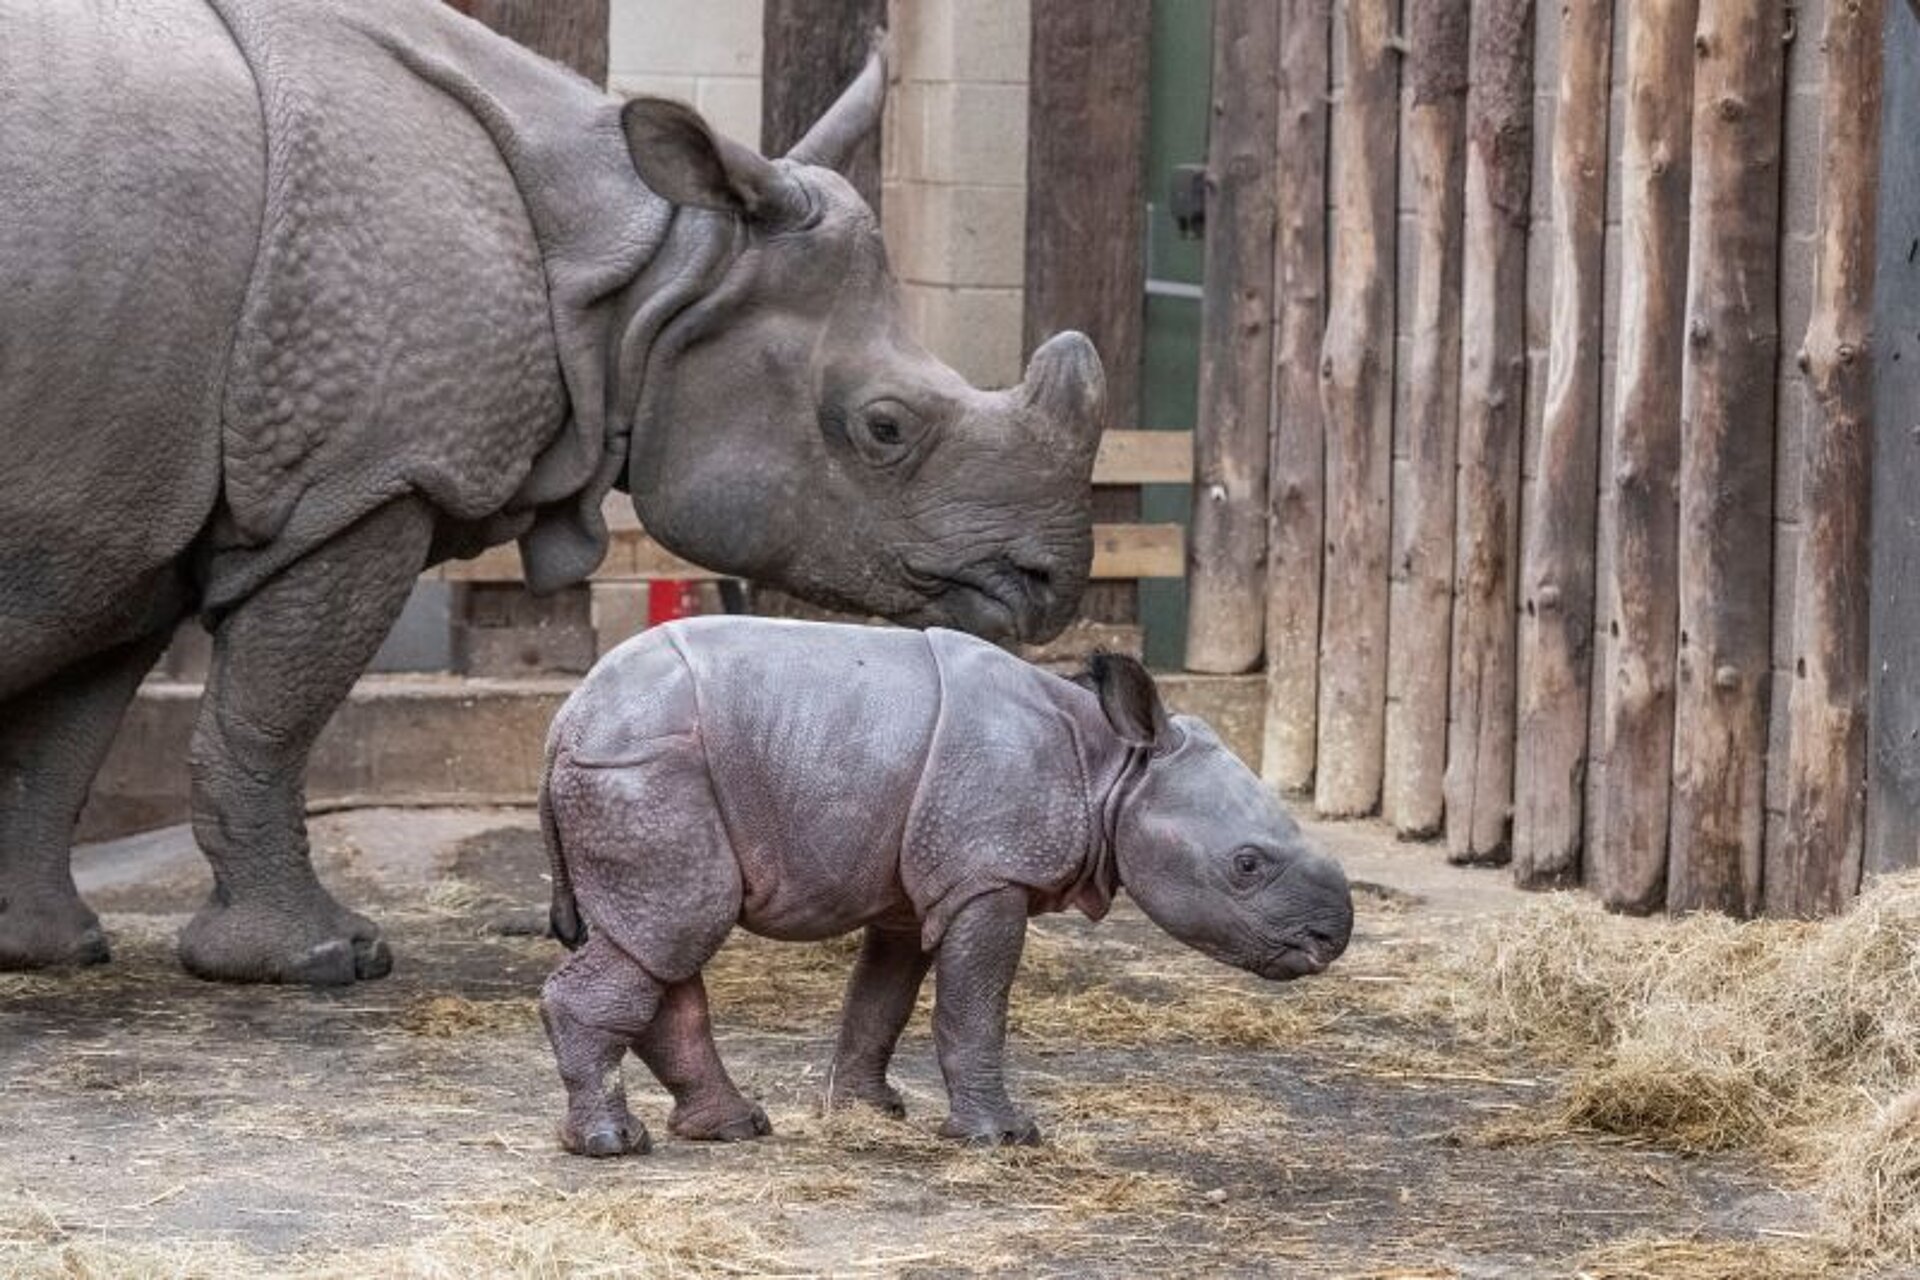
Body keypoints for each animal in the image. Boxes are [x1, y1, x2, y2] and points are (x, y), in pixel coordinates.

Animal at [0, 1, 1105, 984]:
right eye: (885, 428)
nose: (1053, 584)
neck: (649, 277)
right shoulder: (366, 479)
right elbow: (271, 713)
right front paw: (324, 959)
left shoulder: (125, 492)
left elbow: (67, 730)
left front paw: (45, 948)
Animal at [538, 617, 1354, 1154]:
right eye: (1247, 866)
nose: (1333, 935)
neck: (1110, 768)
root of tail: (566, 718)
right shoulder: (989, 873)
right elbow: (974, 1004)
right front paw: (1001, 1136)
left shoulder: (915, 884)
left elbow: (881, 1000)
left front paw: (866, 1114)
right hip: (643, 769)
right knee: (675, 930)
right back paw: (614, 1144)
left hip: (643, 772)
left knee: (663, 942)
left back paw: (731, 1129)